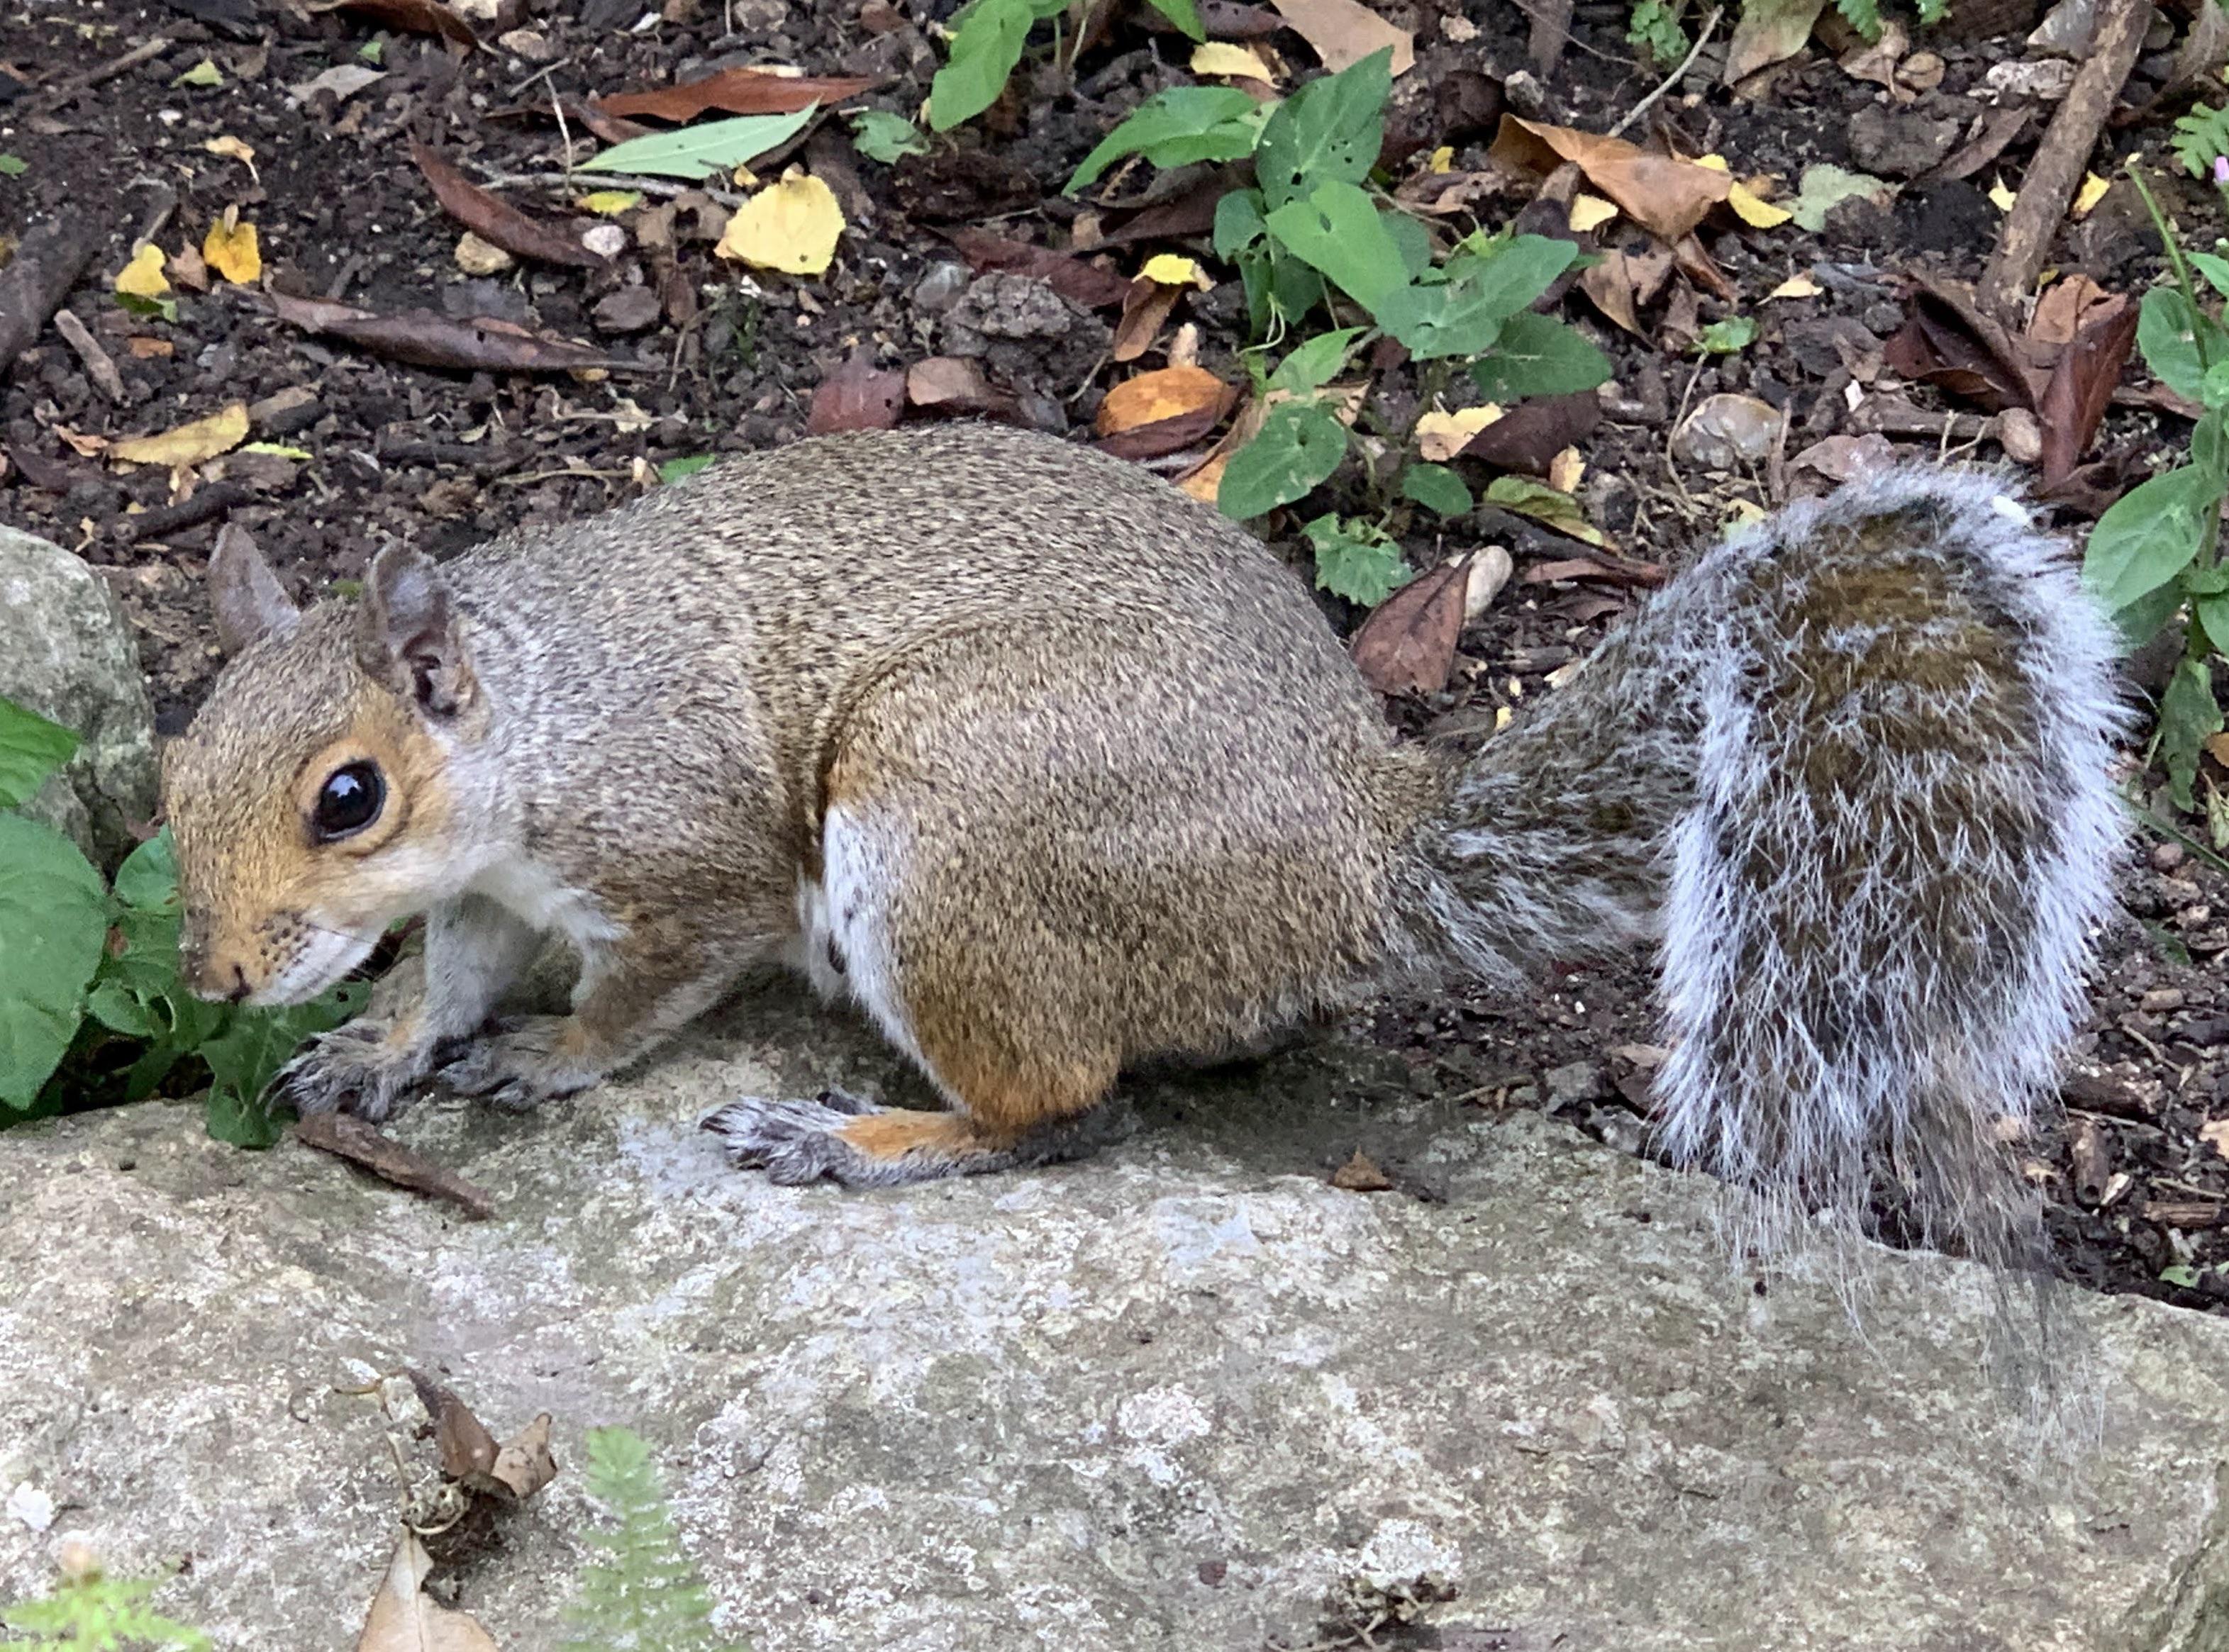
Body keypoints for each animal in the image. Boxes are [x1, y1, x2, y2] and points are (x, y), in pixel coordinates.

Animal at [161, 423, 2124, 1276]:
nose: (219, 976)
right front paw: (378, 1044)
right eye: (170, 776)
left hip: (947, 817)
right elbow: (450, 974)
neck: (540, 716)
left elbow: (641, 988)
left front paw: (551, 1059)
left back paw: (855, 1136)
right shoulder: (493, 892)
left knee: (1061, 1104)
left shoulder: (679, 855)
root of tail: (1352, 862)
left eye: (349, 794)